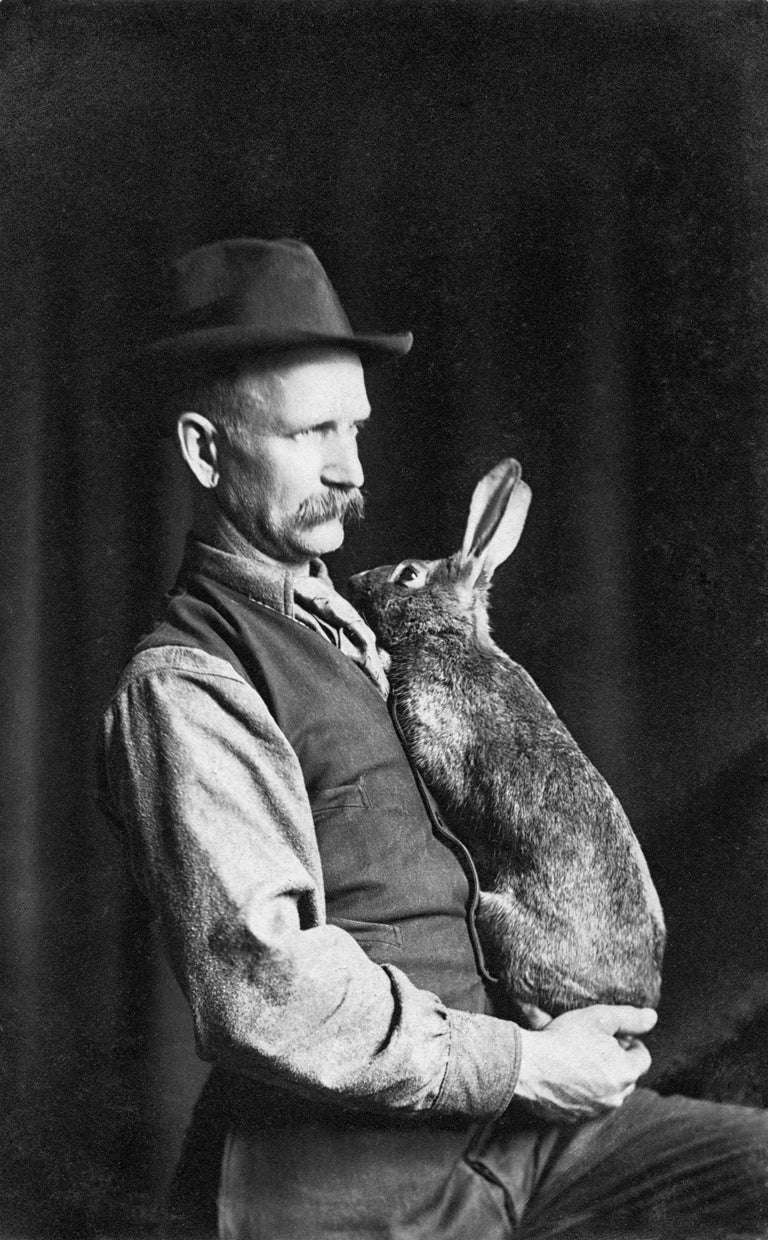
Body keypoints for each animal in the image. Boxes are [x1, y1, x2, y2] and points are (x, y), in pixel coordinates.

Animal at [348, 457, 665, 1025]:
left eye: (409, 574)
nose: (352, 580)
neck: (451, 635)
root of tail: (636, 998)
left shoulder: (436, 723)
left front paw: (374, 657)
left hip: (500, 921)